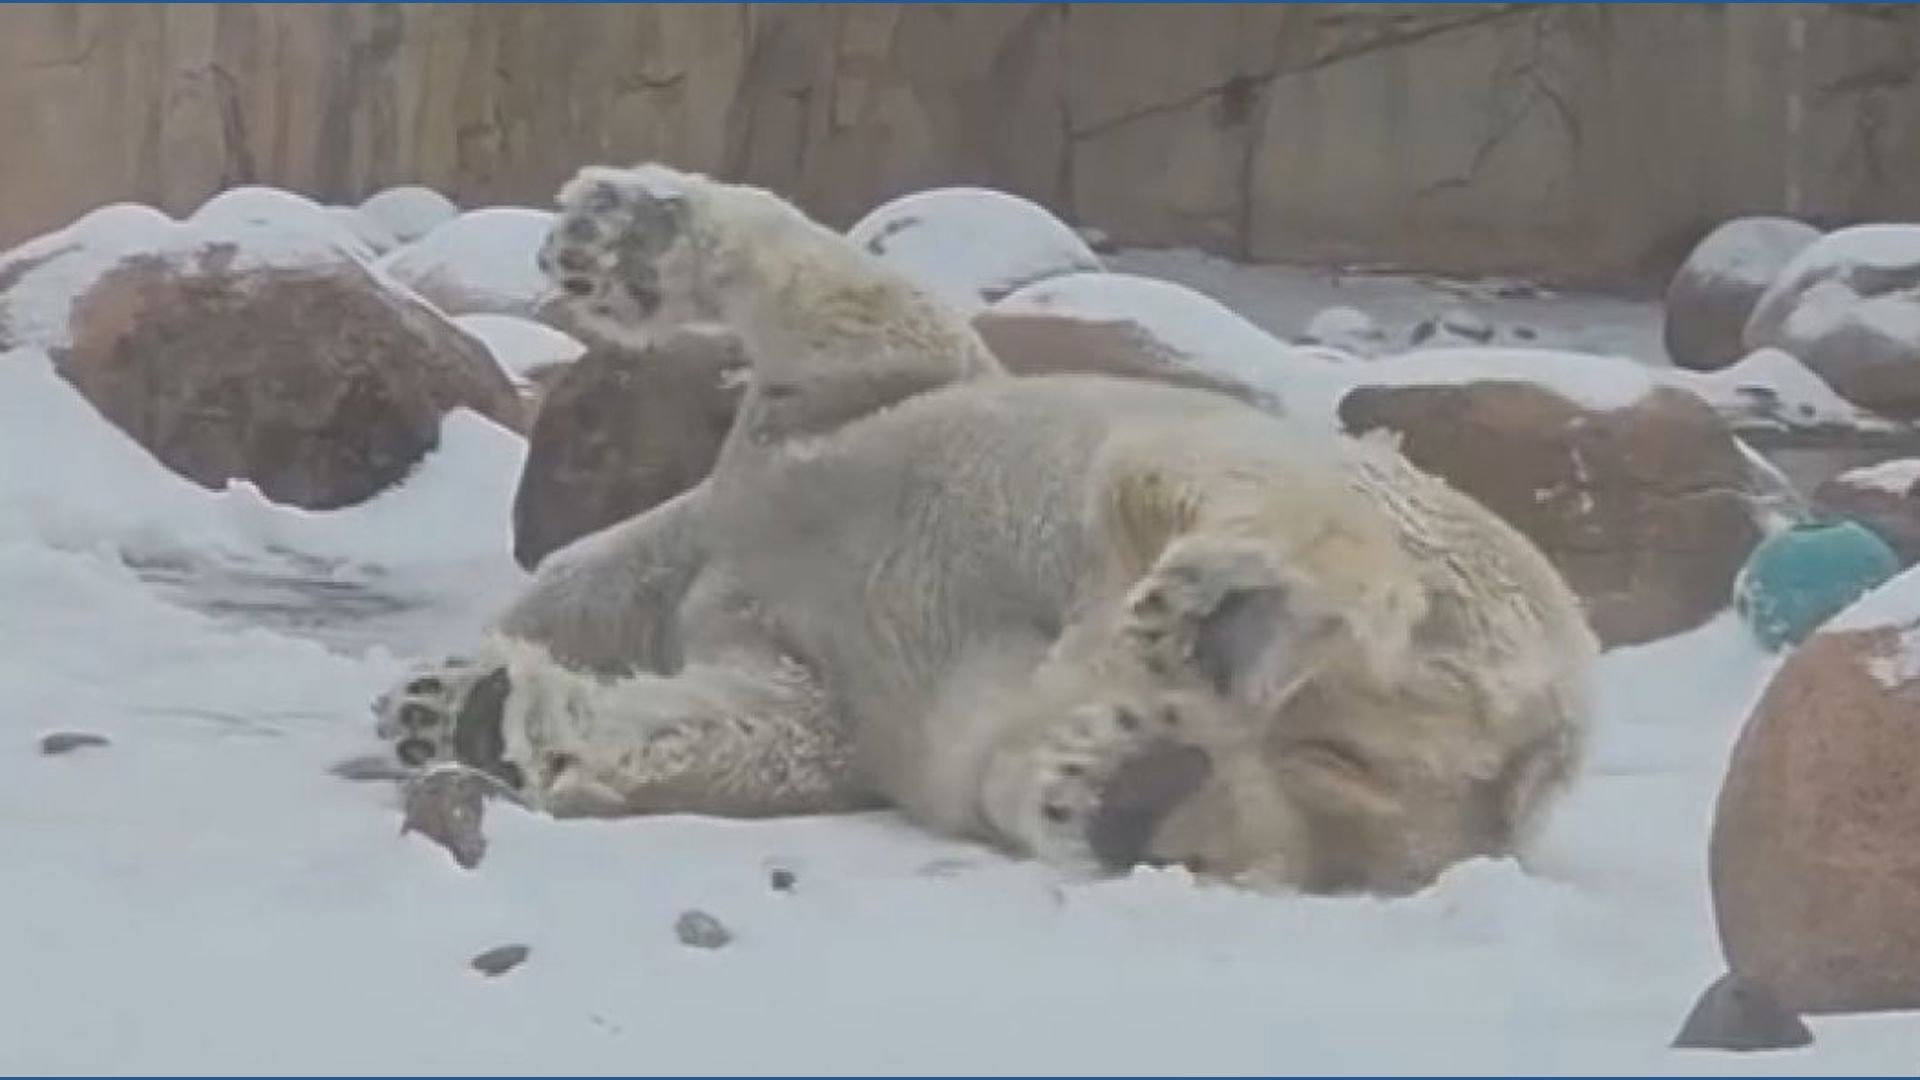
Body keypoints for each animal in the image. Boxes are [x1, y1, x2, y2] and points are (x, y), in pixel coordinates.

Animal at [374, 163, 1598, 893]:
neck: (718, 541)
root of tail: (1533, 745)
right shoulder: (800, 667)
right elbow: (742, 730)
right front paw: (462, 711)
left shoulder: (854, 405)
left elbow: (859, 303)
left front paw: (619, 235)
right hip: (1353, 802)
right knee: (1143, 792)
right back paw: (1125, 778)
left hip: (1383, 518)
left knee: (1213, 491)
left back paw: (1227, 615)